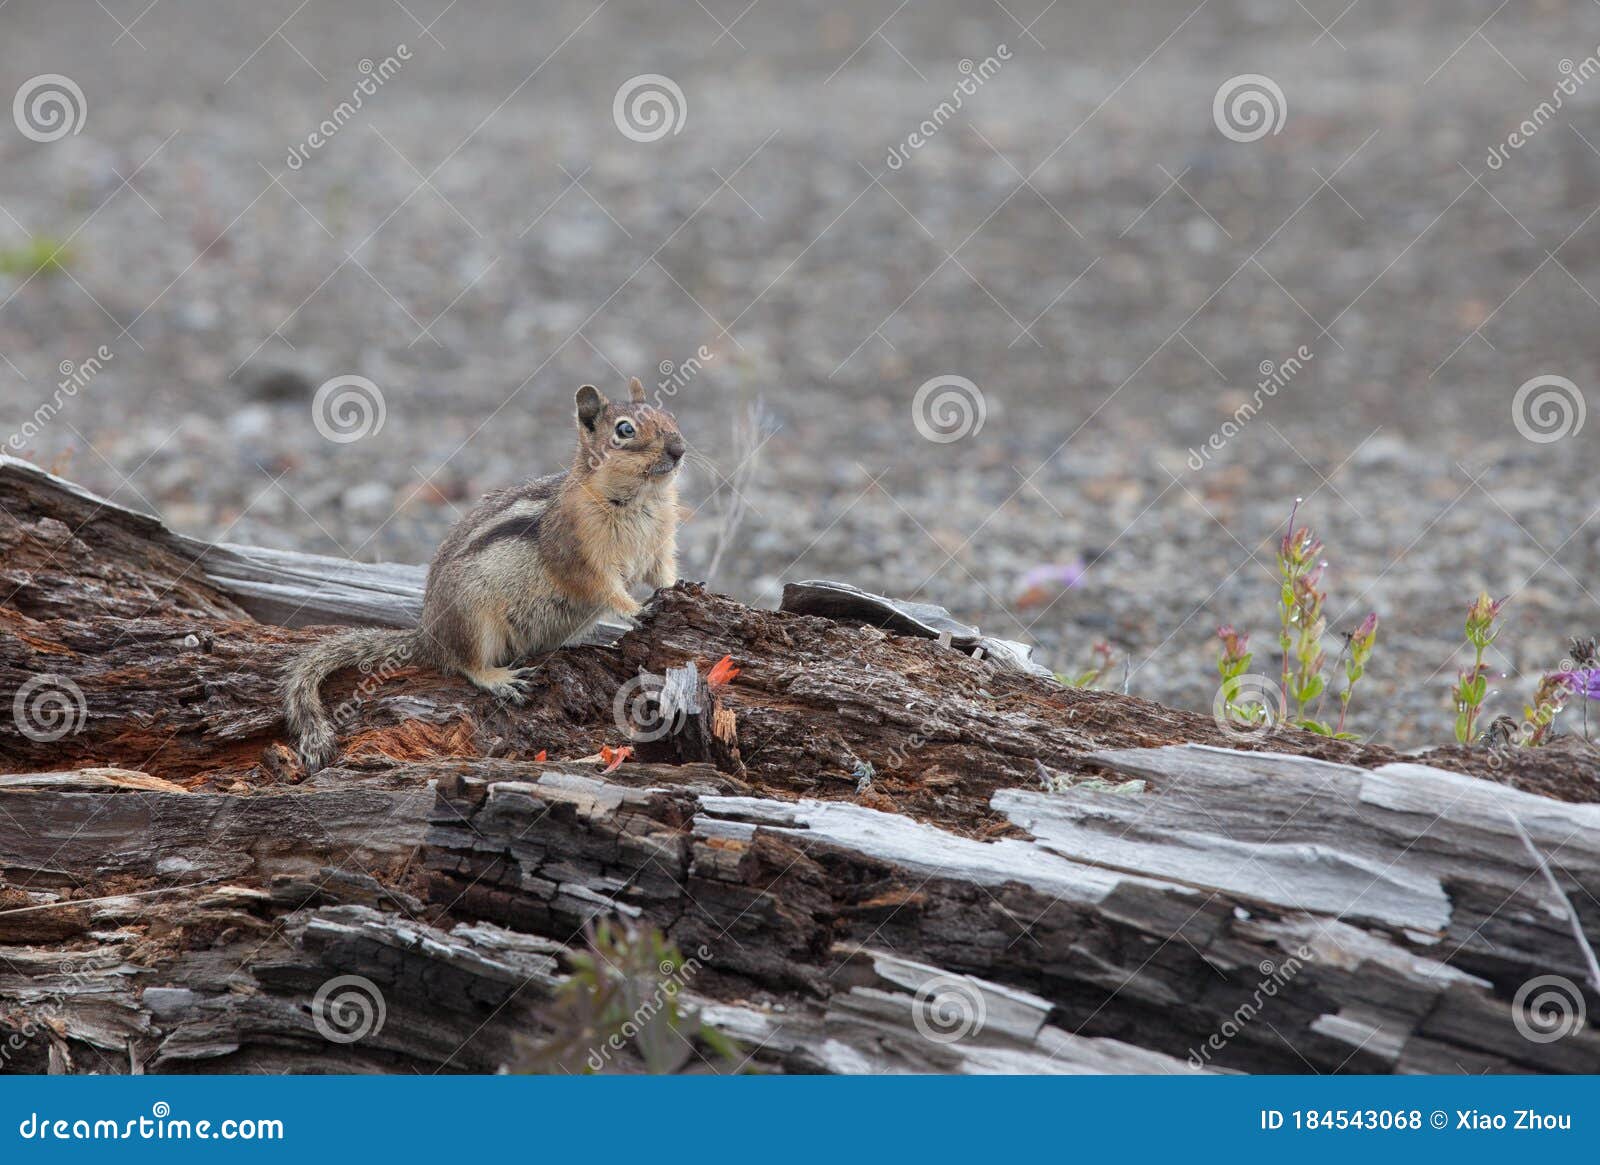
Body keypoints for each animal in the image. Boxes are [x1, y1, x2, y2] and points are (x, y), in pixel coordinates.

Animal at [281, 376, 685, 772]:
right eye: (625, 429)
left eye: (670, 416)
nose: (679, 449)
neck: (642, 499)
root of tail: (428, 635)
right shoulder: (578, 551)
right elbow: (603, 587)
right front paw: (635, 609)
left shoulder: (658, 548)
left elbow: (662, 574)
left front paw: (677, 588)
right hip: (473, 617)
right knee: (467, 664)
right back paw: (500, 679)